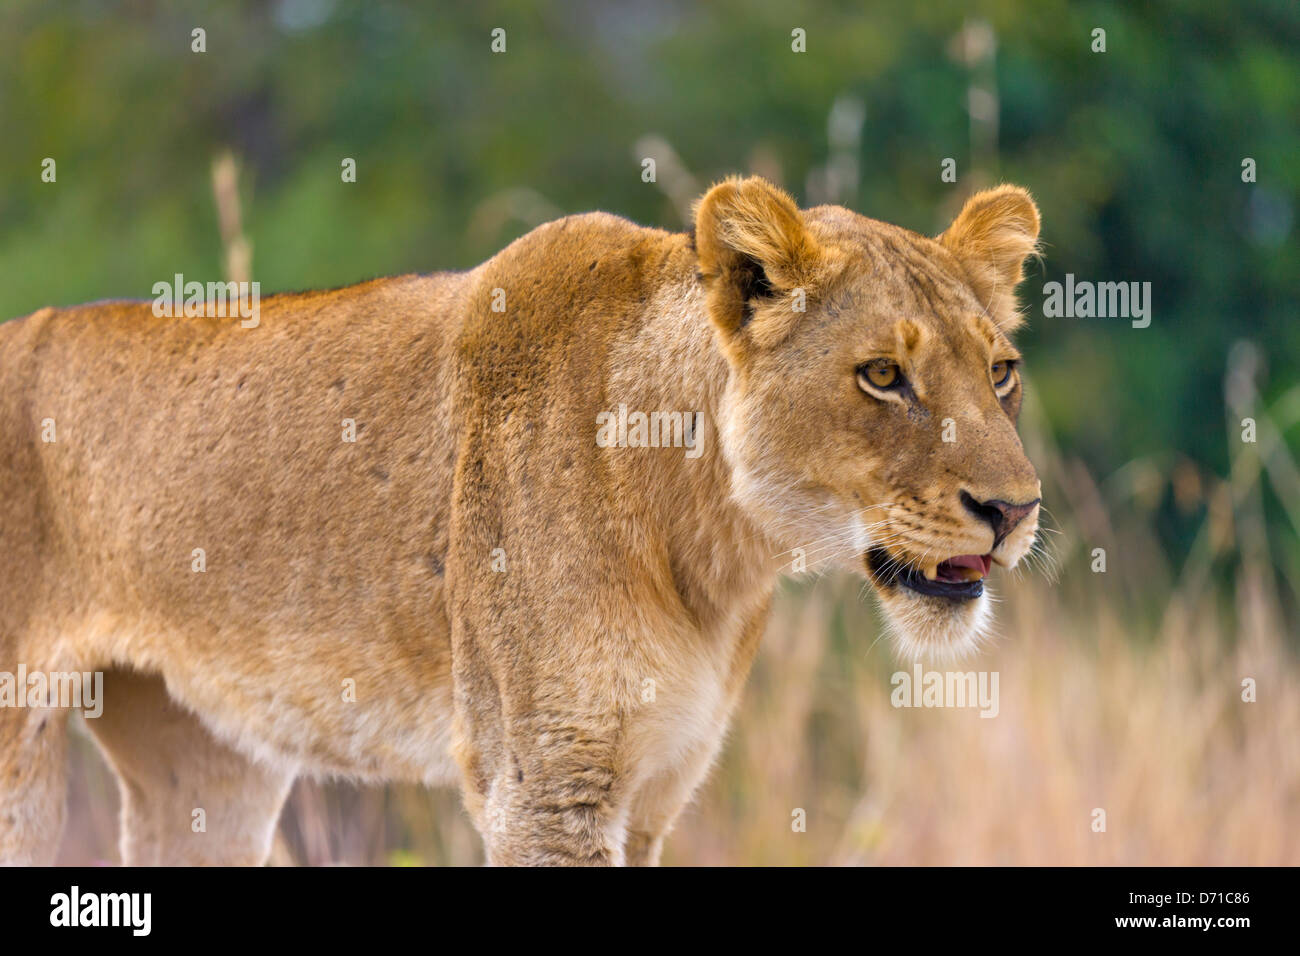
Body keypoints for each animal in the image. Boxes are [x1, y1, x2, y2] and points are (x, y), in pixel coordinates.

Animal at [0, 177, 1041, 866]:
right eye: (882, 375)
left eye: (1000, 372)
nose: (1014, 510)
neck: (710, 542)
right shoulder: (544, 784)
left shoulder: (655, 788)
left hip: (205, 758)